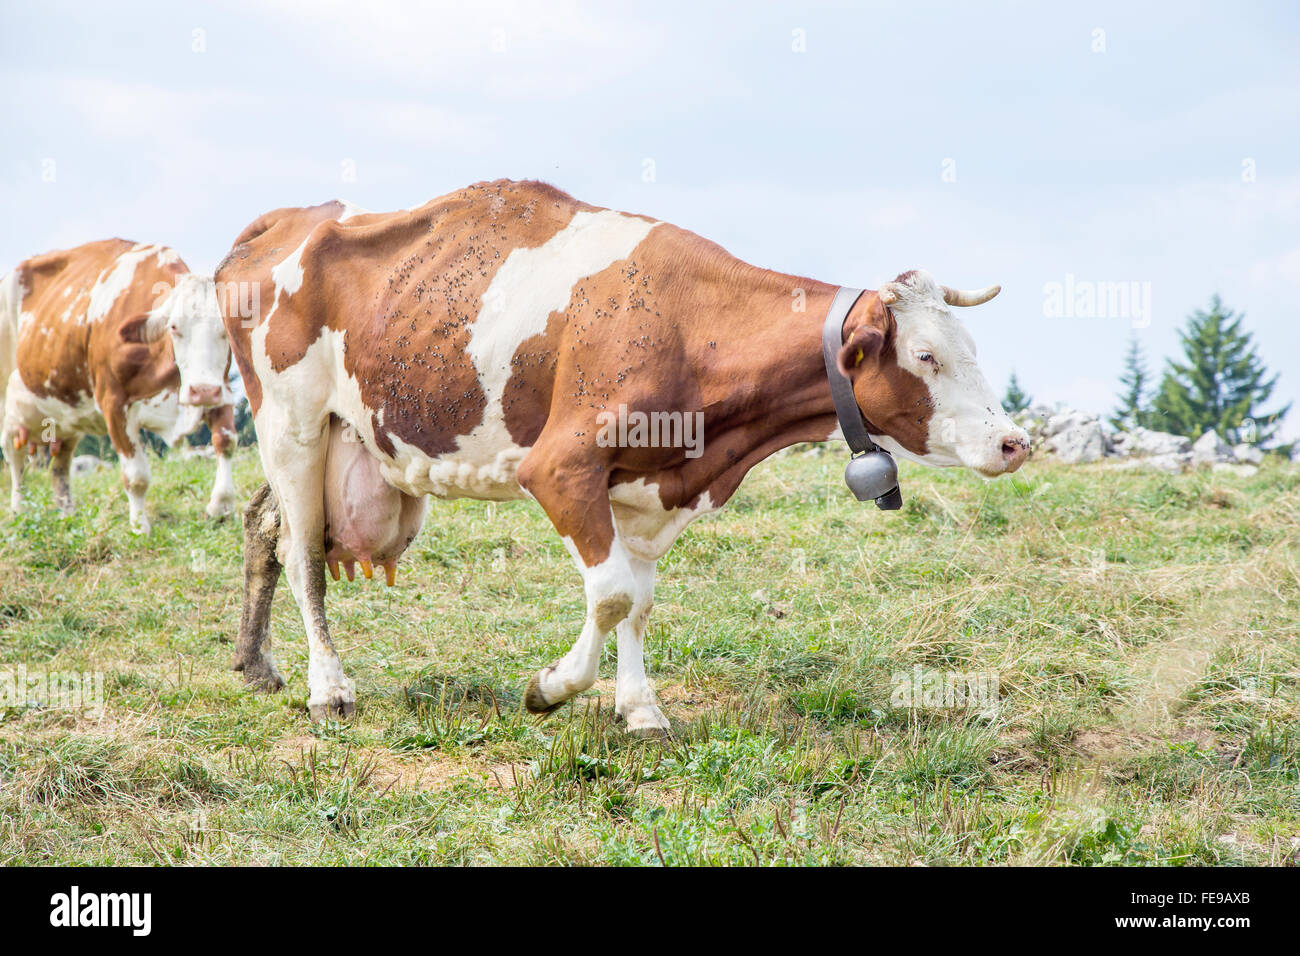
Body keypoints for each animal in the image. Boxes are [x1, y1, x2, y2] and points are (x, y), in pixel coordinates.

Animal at [0, 239, 237, 533]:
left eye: (226, 328)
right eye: (173, 326)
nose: (202, 390)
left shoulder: (222, 390)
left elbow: (226, 441)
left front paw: (220, 508)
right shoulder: (114, 404)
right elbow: (136, 476)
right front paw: (139, 527)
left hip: (67, 415)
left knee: (60, 465)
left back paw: (67, 512)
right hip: (8, 402)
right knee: (15, 457)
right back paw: (19, 510)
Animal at [217, 180, 1030, 731]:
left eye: (970, 346)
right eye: (925, 355)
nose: (1014, 441)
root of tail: (295, 217)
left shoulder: (650, 491)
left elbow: (637, 602)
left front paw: (639, 709)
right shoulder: (559, 467)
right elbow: (607, 594)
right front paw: (549, 688)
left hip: (339, 437)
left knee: (265, 528)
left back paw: (258, 666)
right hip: (290, 423)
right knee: (300, 553)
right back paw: (329, 687)